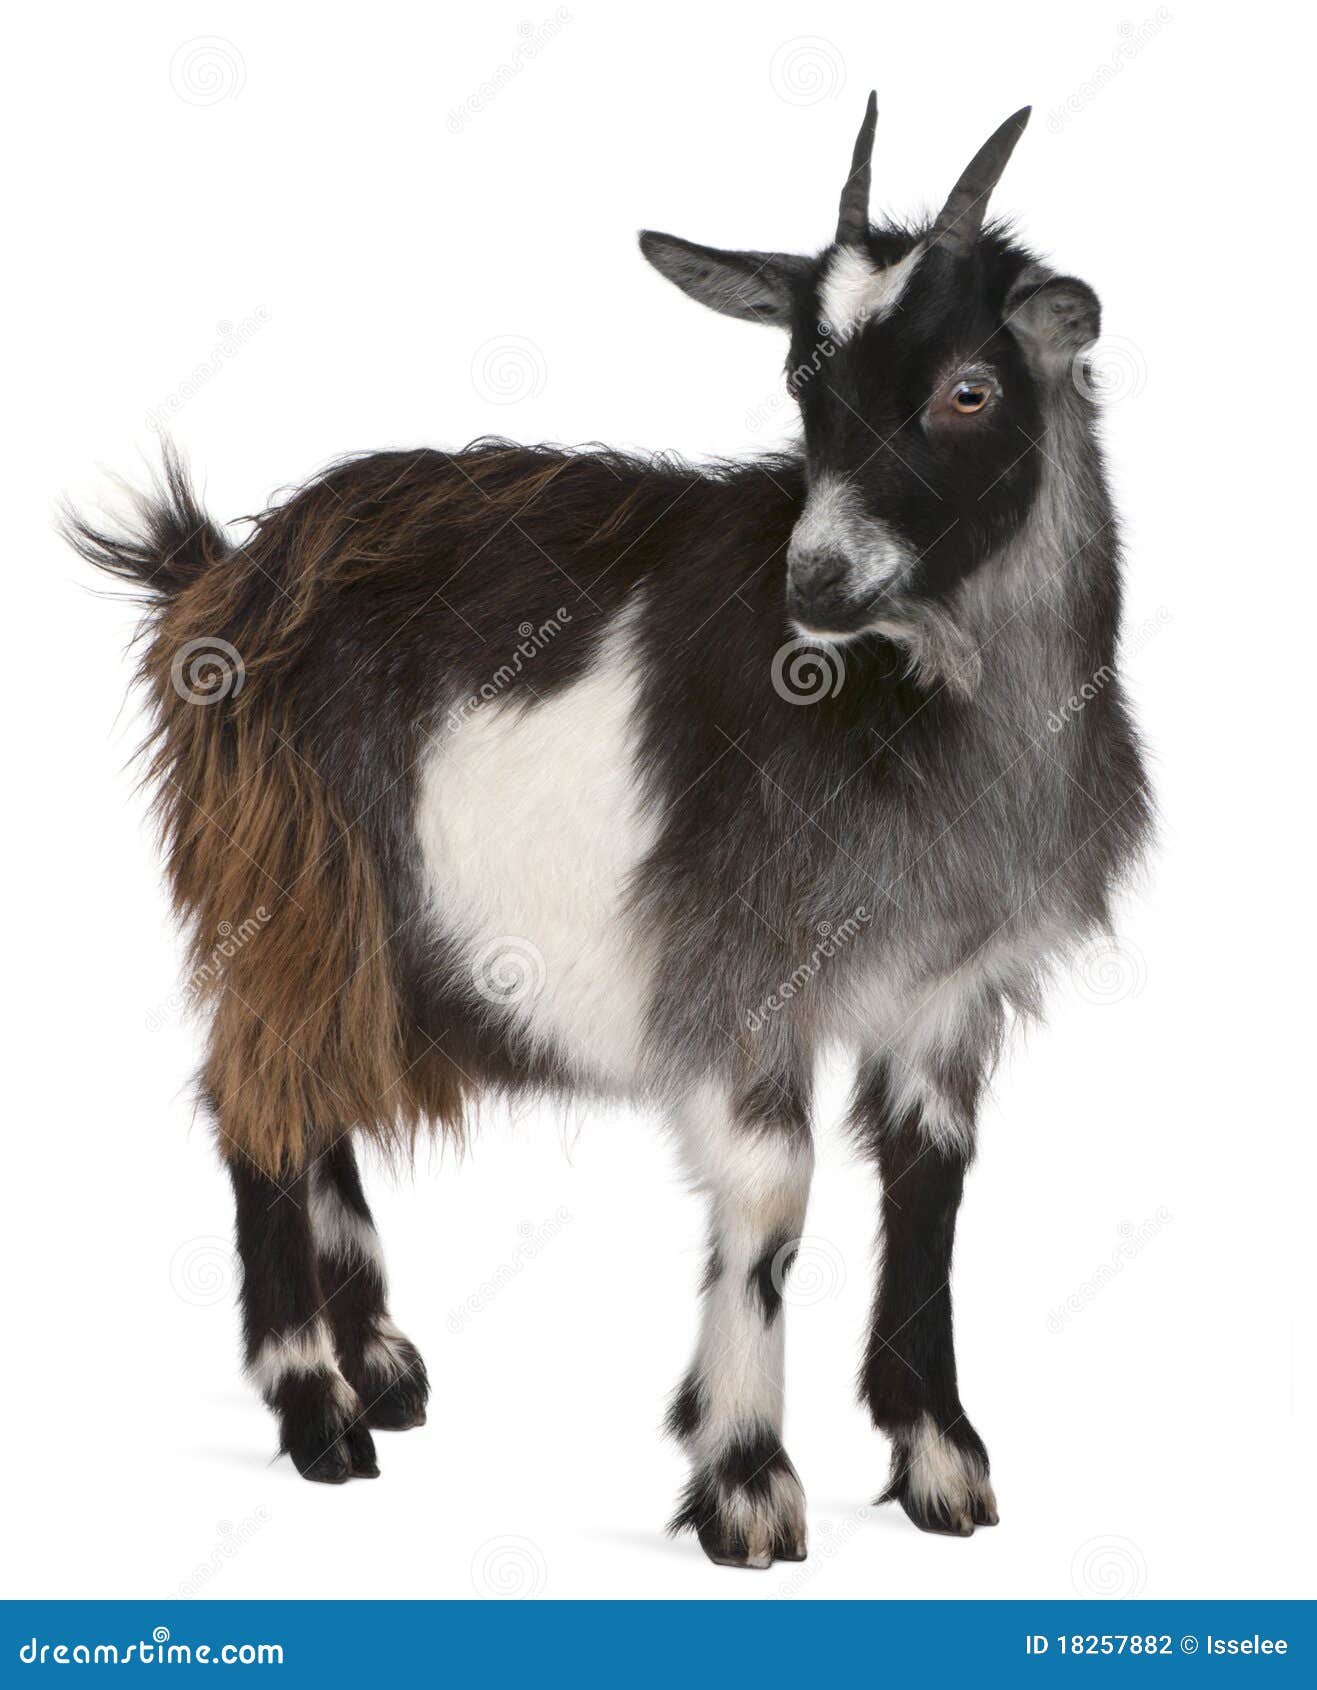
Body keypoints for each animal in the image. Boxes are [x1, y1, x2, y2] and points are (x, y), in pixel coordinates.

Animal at [67, 95, 1151, 1569]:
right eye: (802, 383)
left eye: (969, 389)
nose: (818, 580)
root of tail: (227, 568)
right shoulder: (741, 967)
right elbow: (773, 1196)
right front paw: (744, 1483)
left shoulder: (951, 989)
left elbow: (930, 1194)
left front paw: (940, 1460)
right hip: (287, 875)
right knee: (261, 1098)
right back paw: (316, 1408)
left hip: (355, 915)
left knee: (317, 1079)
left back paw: (380, 1362)